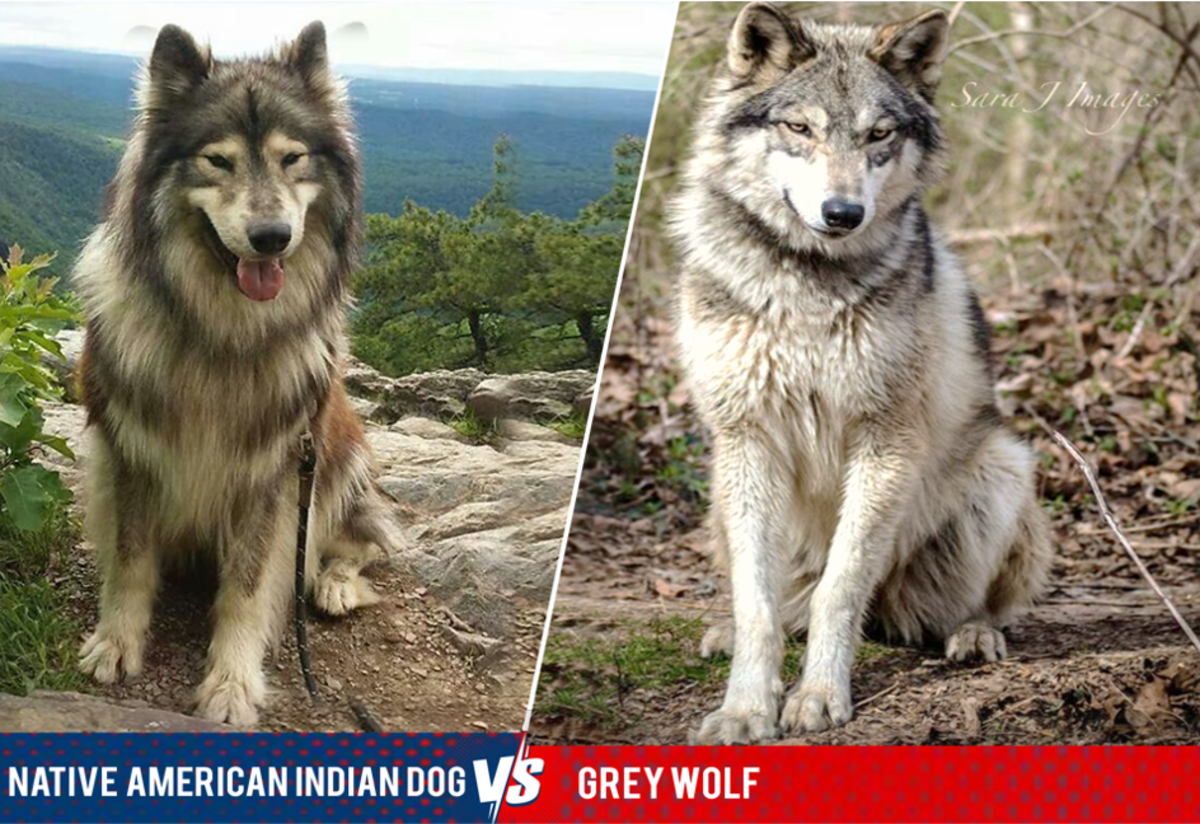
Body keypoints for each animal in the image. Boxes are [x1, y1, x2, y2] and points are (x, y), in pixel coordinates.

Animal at [74, 22, 400, 727]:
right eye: (217, 161)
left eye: (292, 158)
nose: (272, 236)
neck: (222, 337)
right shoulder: (132, 450)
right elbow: (130, 560)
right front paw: (116, 642)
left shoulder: (274, 471)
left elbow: (248, 586)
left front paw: (232, 683)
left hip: (340, 455)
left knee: (363, 537)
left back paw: (334, 583)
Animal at [670, 3, 1052, 744]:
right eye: (800, 128)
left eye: (879, 134)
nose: (842, 213)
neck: (806, 285)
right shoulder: (748, 437)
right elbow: (758, 606)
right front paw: (746, 706)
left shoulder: (885, 441)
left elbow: (841, 587)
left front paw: (818, 696)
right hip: (720, 502)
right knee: (779, 603)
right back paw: (723, 635)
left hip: (1001, 470)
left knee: (974, 608)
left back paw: (972, 636)